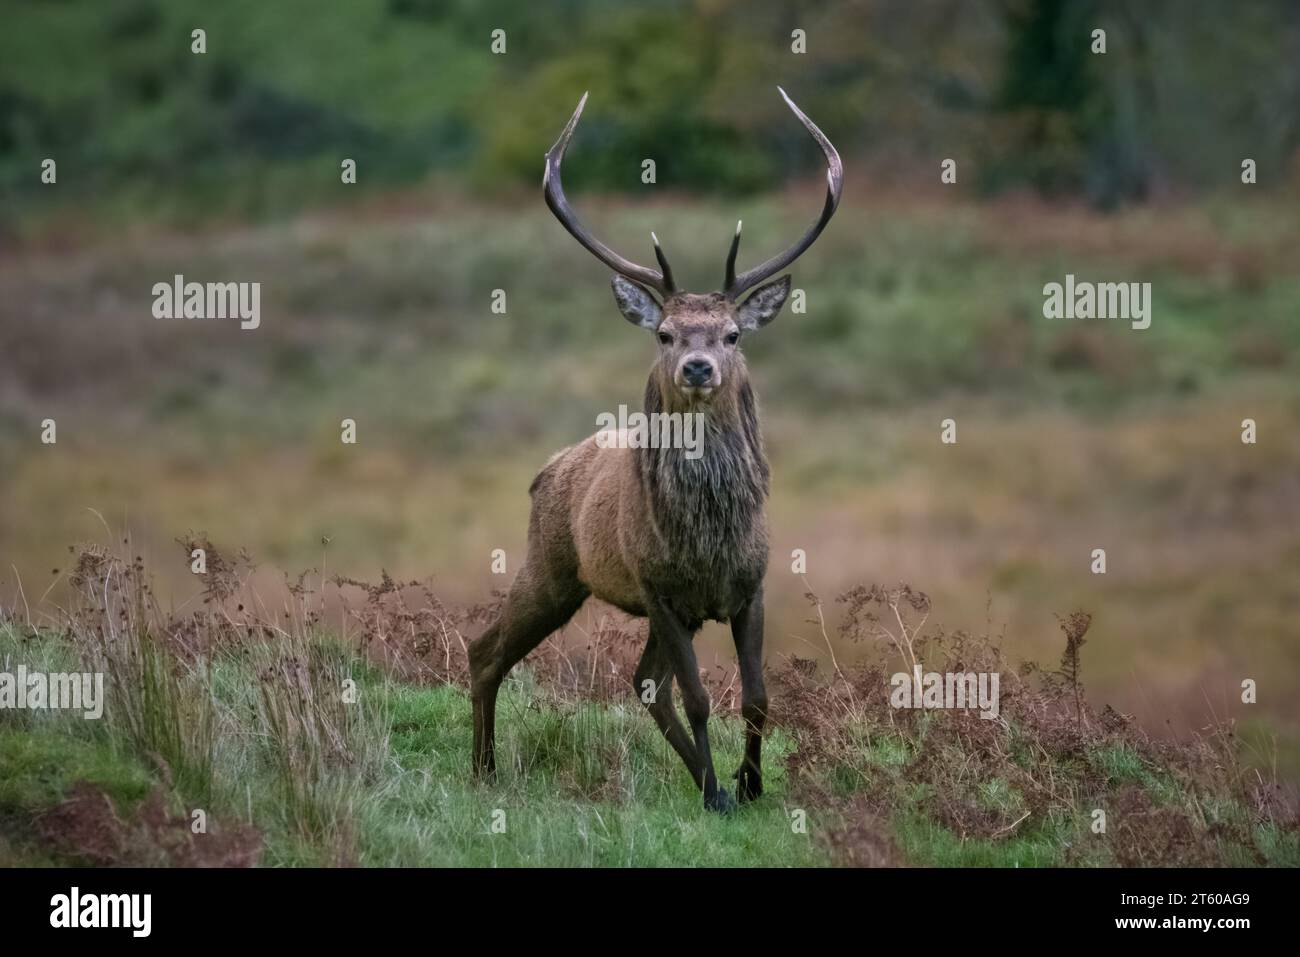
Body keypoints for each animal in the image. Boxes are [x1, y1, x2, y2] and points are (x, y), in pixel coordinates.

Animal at [469, 87, 842, 812]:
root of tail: (548, 468)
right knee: (486, 650)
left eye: (731, 334)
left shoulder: (749, 586)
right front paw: (725, 791)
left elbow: (756, 696)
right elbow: (700, 699)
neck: (708, 538)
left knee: (645, 684)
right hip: (552, 568)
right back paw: (483, 767)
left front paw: (750, 784)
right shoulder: (660, 588)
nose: (698, 366)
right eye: (666, 333)